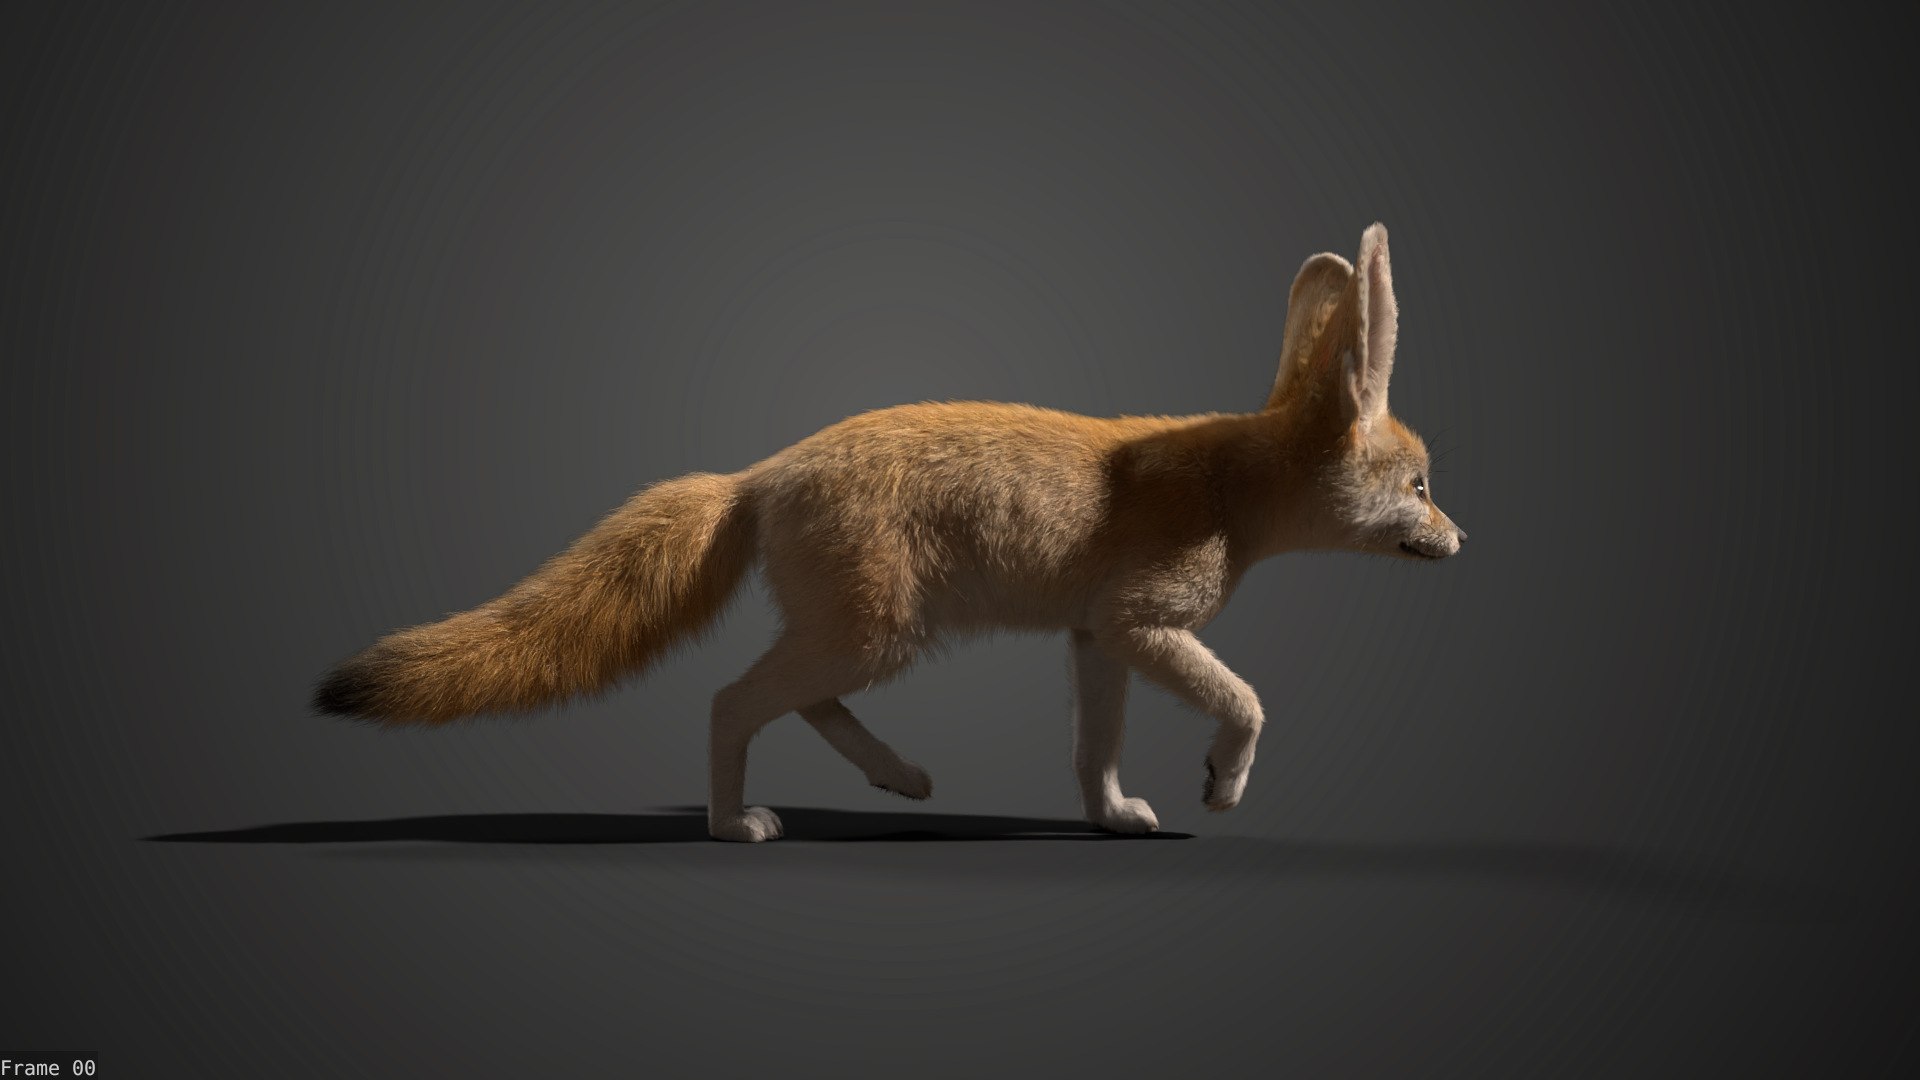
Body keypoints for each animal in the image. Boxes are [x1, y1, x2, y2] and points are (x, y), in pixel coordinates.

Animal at [314, 223, 1465, 842]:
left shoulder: (1098, 636)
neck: (1233, 483)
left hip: (865, 637)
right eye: (1421, 485)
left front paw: (1112, 817)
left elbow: (1094, 750)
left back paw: (898, 779)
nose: (1463, 542)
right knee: (733, 701)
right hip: (881, 636)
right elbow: (1250, 703)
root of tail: (759, 473)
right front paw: (1223, 783)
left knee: (798, 699)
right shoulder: (1145, 624)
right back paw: (736, 824)